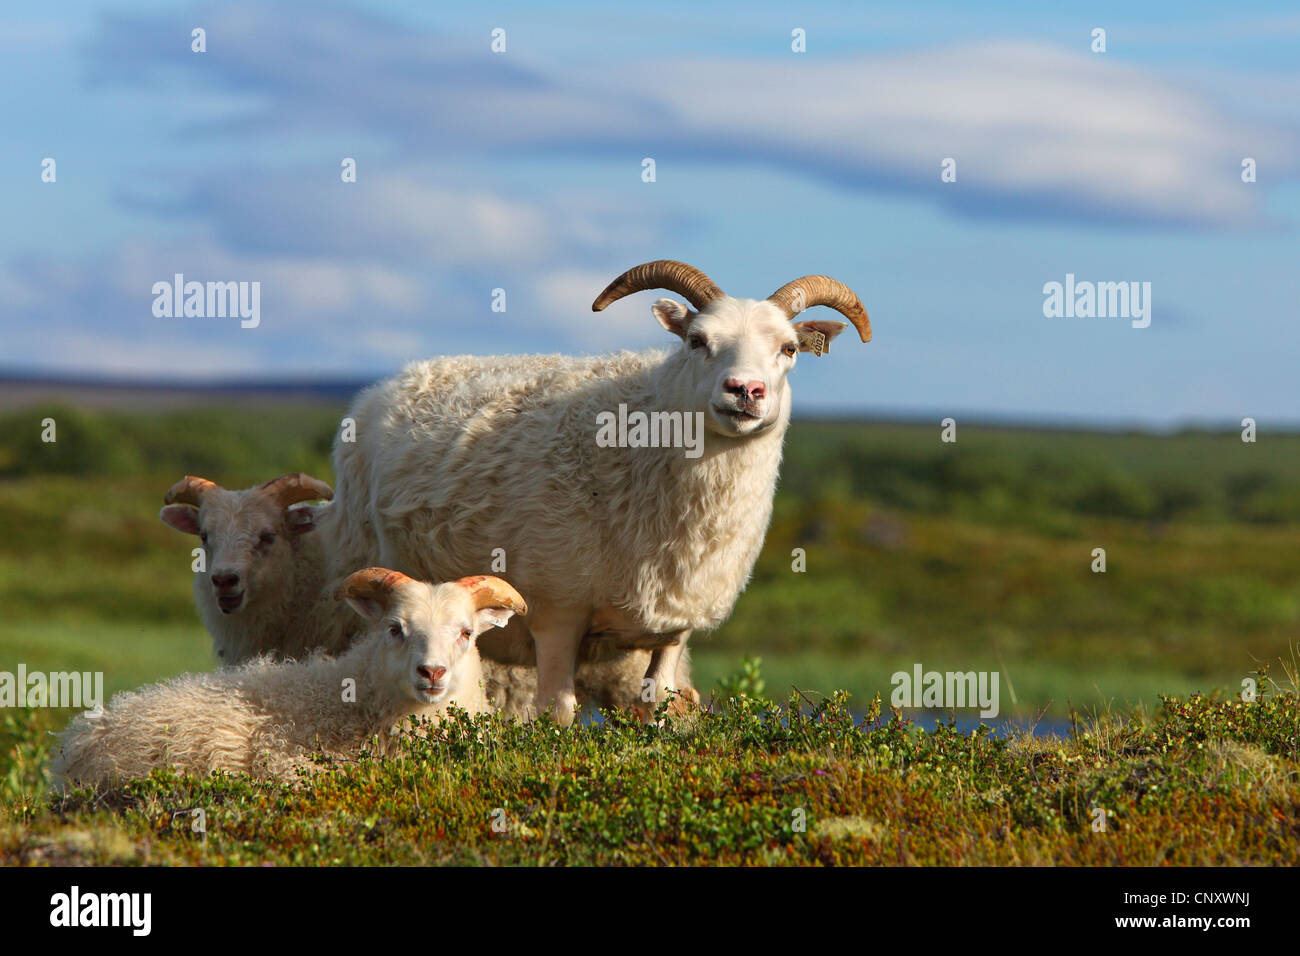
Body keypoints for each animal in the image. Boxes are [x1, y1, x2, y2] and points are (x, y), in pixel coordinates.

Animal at [330, 260, 871, 724]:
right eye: (697, 341)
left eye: (789, 349)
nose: (746, 391)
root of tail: (402, 376)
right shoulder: (556, 613)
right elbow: (558, 711)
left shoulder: (675, 625)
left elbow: (658, 704)